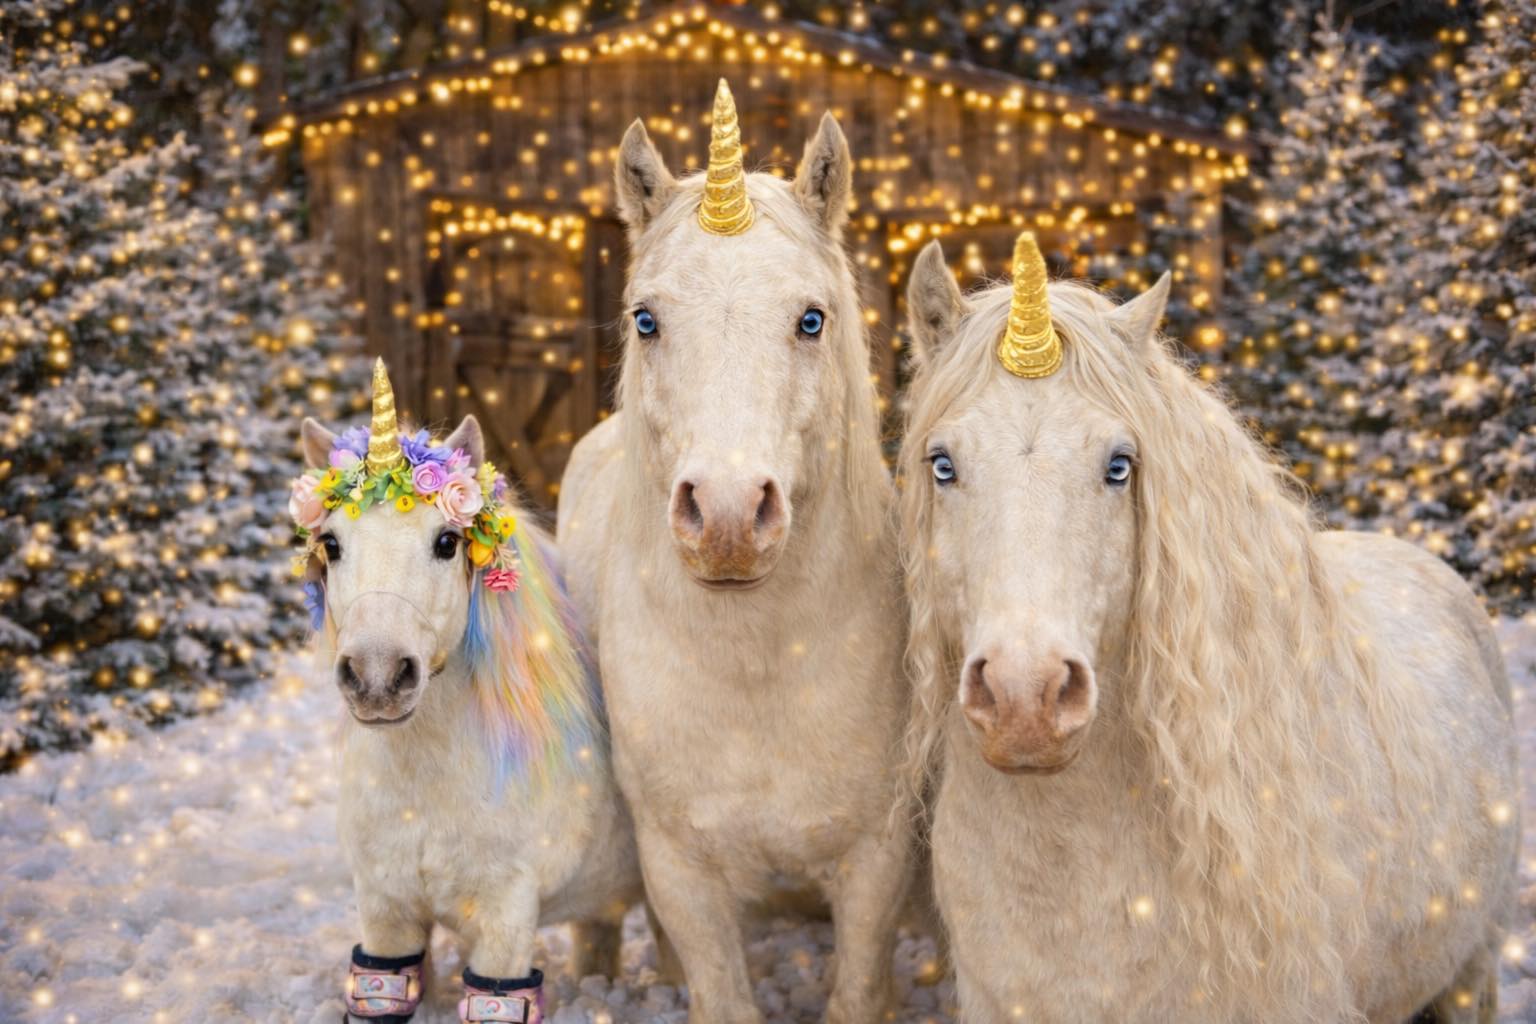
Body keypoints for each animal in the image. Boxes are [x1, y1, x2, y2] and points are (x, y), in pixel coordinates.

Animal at [295, 361, 643, 1024]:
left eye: (446, 542)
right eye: (331, 544)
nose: (378, 677)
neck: (427, 786)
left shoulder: (505, 928)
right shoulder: (385, 920)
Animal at [556, 80, 914, 1023]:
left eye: (811, 319)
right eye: (646, 319)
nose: (723, 516)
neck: (759, 665)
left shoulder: (877, 861)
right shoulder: (680, 867)